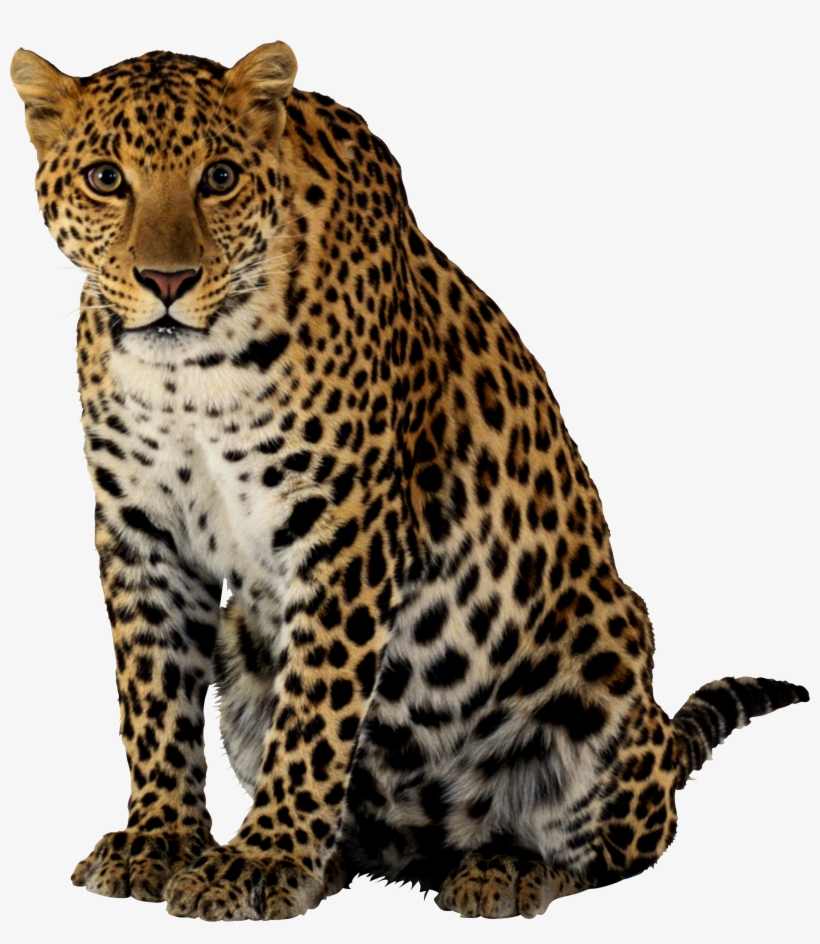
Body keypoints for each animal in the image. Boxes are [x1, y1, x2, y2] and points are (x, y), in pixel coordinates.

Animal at [10, 42, 809, 921]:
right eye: (106, 178)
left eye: (218, 177)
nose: (167, 281)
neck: (189, 373)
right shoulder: (141, 527)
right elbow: (152, 692)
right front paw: (160, 840)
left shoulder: (345, 523)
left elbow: (316, 711)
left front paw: (260, 859)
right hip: (243, 653)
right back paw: (337, 860)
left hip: (606, 658)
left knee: (624, 846)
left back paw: (506, 867)